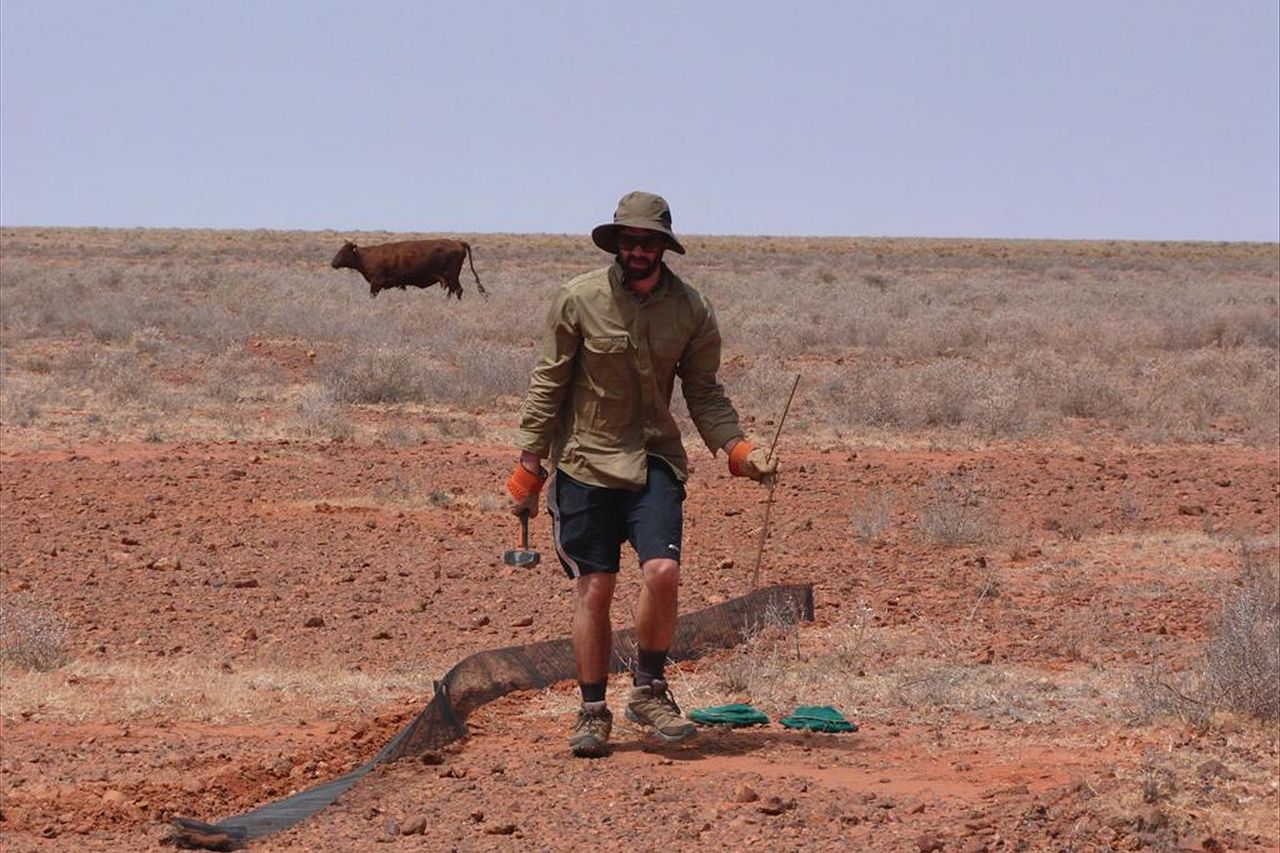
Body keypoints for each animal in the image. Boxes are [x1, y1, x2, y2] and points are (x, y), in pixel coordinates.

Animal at [330, 239, 485, 300]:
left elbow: (372, 295)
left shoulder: (376, 283)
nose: (333, 263)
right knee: (453, 290)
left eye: (345, 252)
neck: (365, 256)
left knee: (457, 290)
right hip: (451, 278)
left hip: (452, 276)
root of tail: (458, 242)